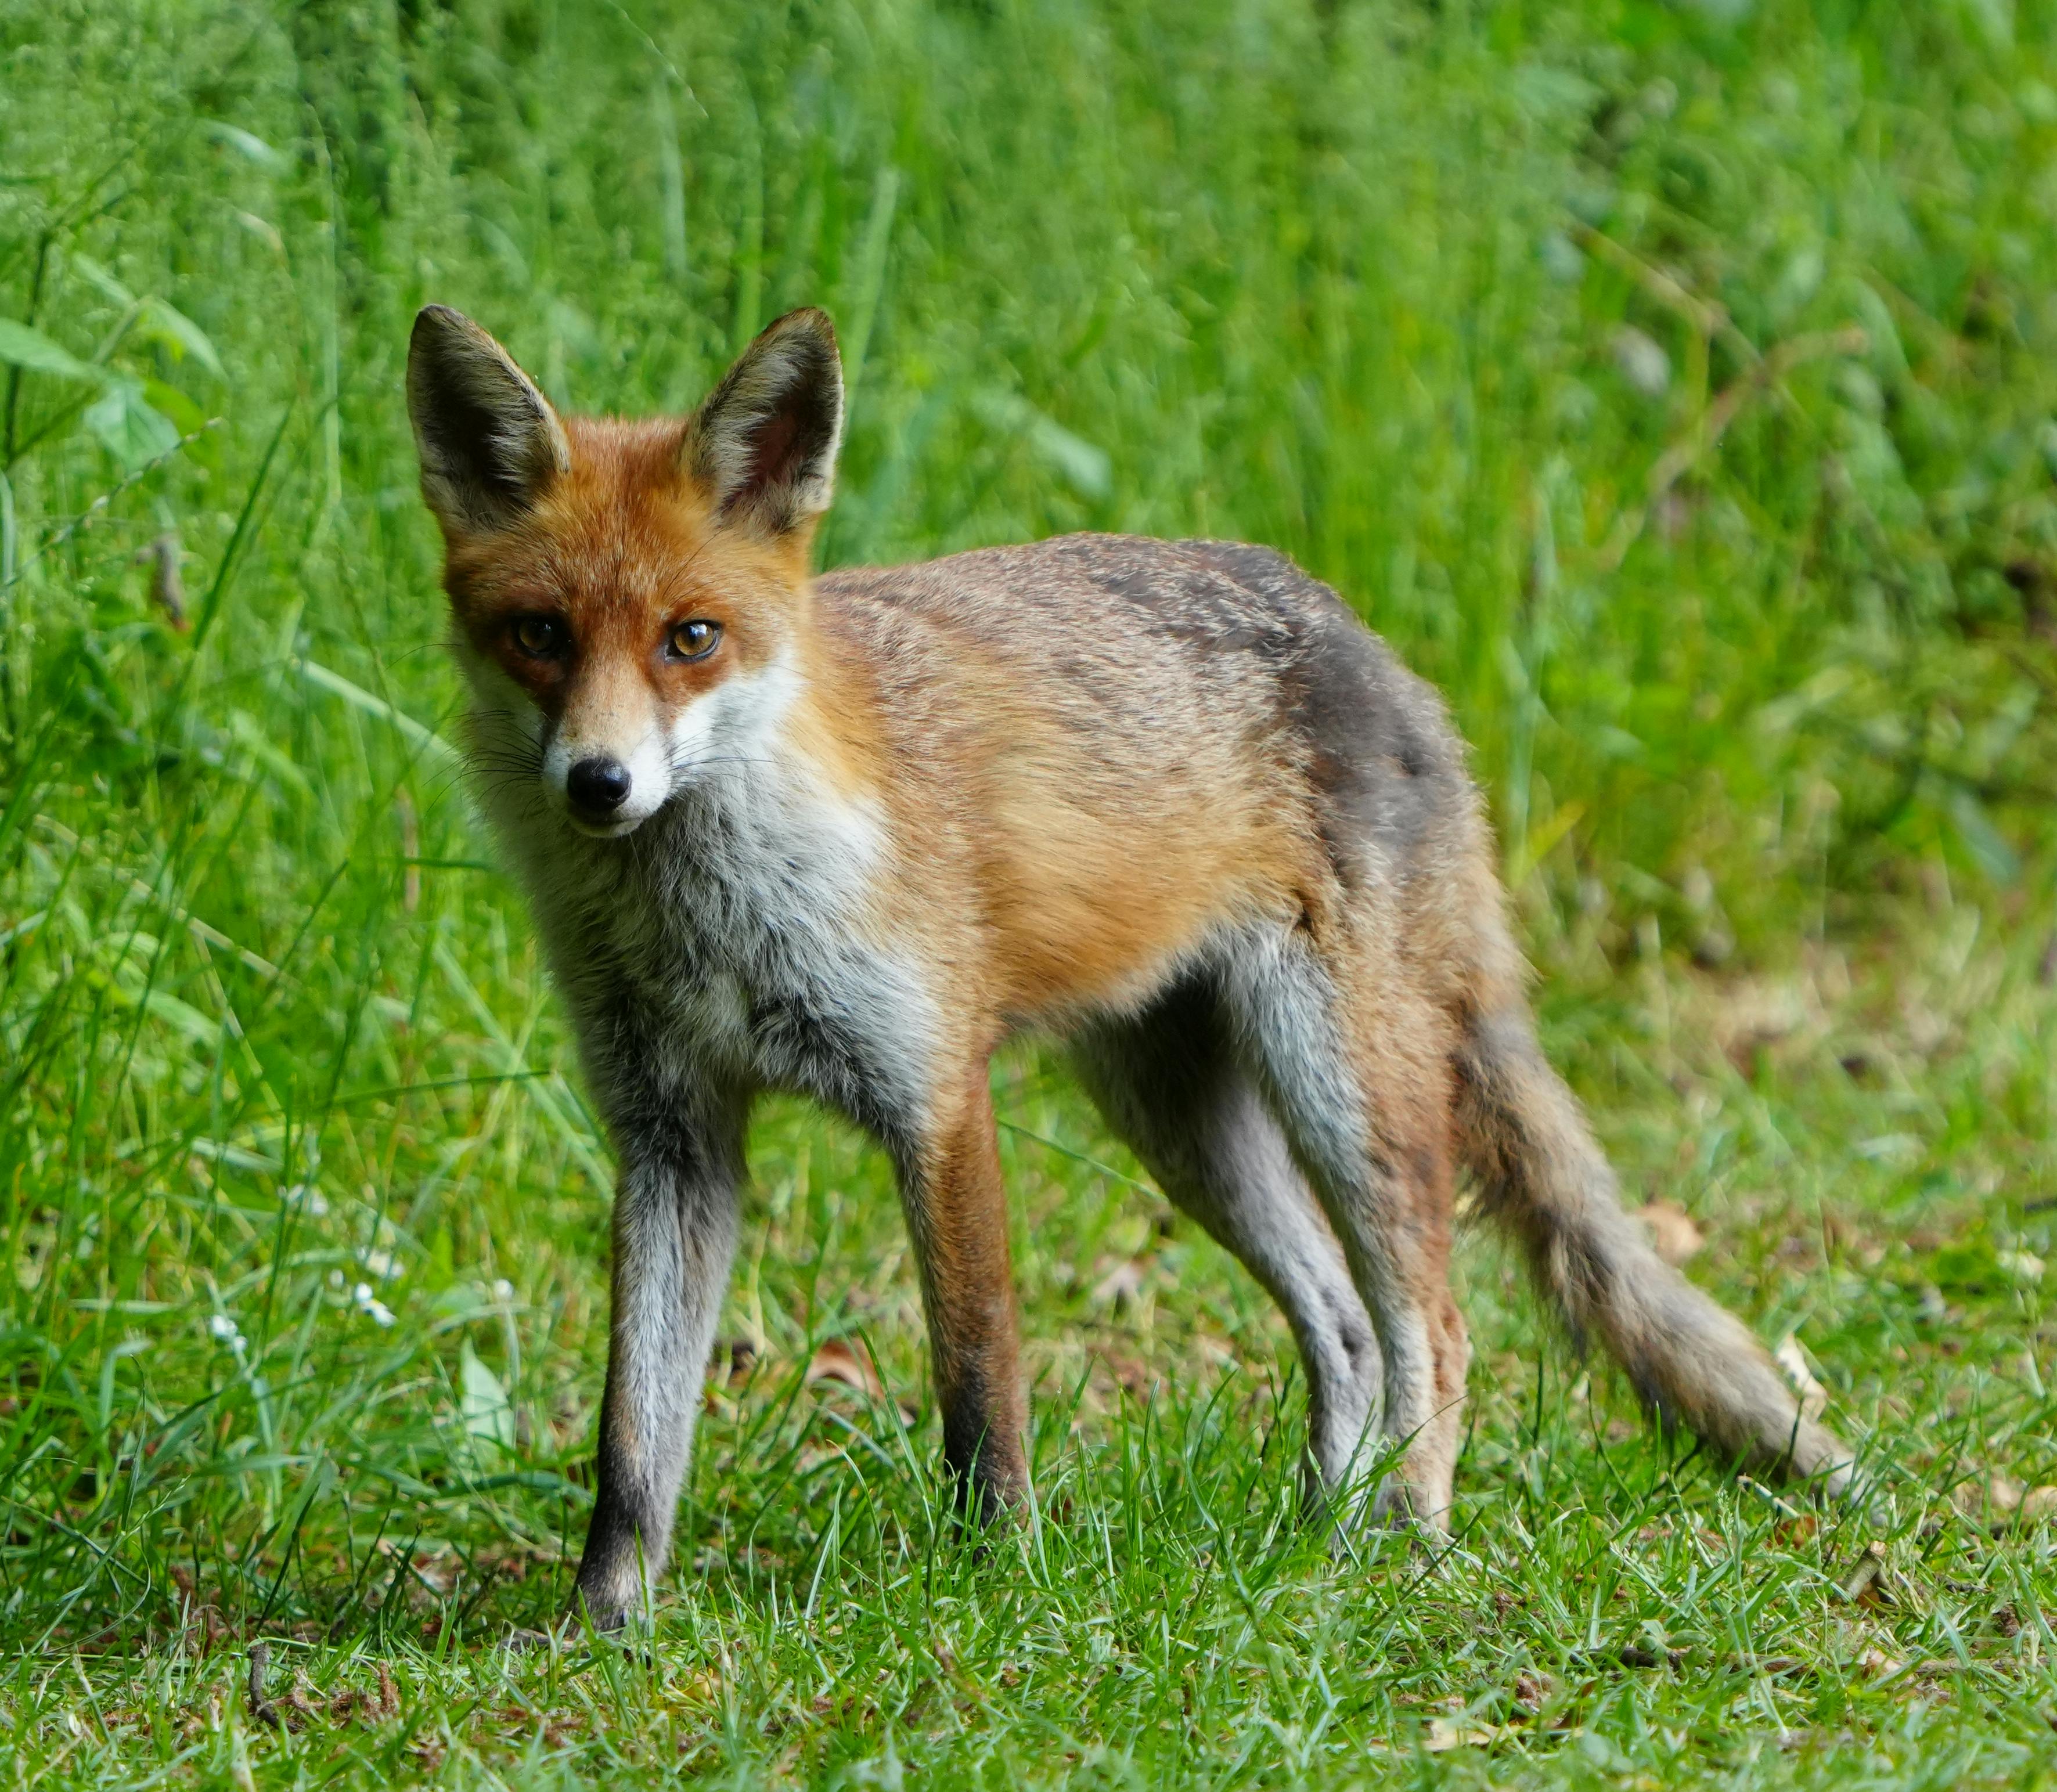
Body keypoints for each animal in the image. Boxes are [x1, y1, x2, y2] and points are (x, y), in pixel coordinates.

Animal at [405, 302, 1852, 1632]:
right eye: (540, 635)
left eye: (690, 638)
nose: (599, 784)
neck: (705, 914)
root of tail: (1373, 645)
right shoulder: (671, 1136)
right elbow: (634, 1438)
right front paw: (605, 1622)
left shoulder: (934, 1097)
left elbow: (979, 1381)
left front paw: (995, 1582)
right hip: (1178, 1116)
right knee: (1340, 1326)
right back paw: (1312, 1539)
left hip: (1340, 1085)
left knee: (1432, 1334)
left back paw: (1402, 1535)